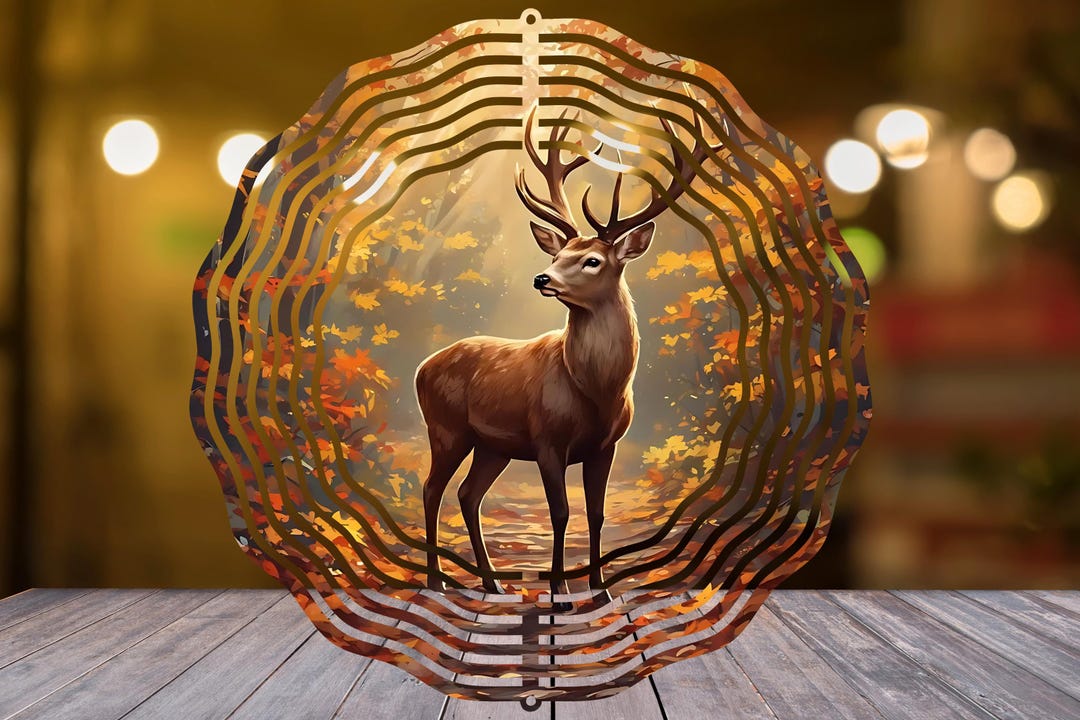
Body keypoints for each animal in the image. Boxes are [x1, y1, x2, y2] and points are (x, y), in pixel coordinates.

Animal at [415, 108, 713, 608]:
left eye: (592, 260)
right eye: (560, 254)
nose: (542, 278)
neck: (595, 390)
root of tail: (420, 367)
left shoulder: (606, 446)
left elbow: (595, 513)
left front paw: (601, 589)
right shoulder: (547, 440)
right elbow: (561, 512)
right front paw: (560, 591)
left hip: (492, 445)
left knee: (468, 494)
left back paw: (493, 583)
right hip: (447, 429)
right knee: (432, 488)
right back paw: (437, 582)